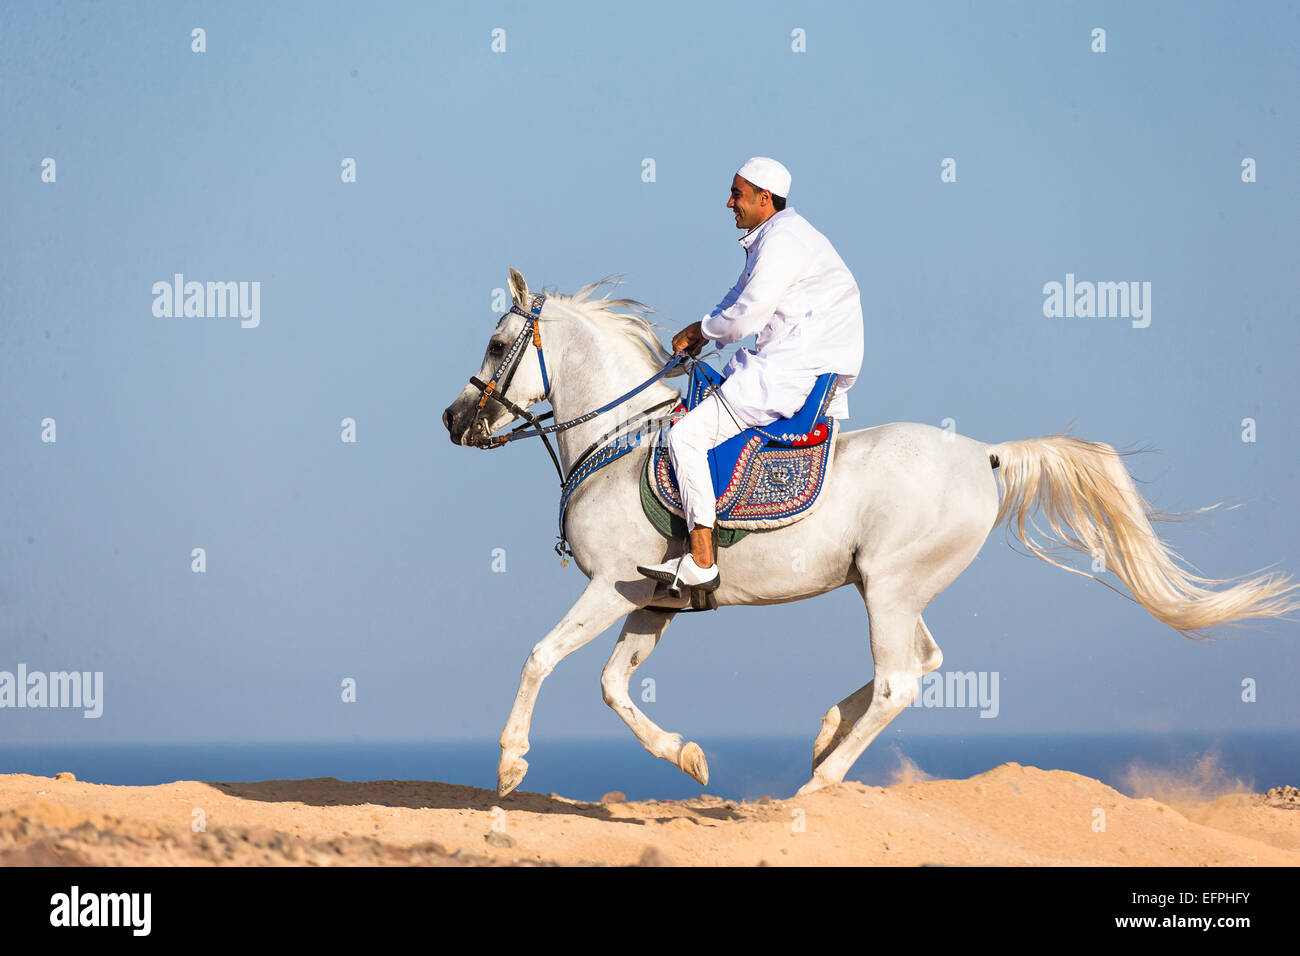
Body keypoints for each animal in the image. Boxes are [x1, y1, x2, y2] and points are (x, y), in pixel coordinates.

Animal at [442, 269, 1298, 798]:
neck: (618, 443)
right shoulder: (651, 604)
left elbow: (542, 657)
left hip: (888, 587)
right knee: (926, 661)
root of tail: (983, 454)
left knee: (902, 680)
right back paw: (828, 731)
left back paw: (820, 779)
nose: (454, 420)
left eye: (496, 344)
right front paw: (685, 755)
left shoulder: (611, 587)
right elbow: (614, 686)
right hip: (897, 588)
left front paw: (511, 765)